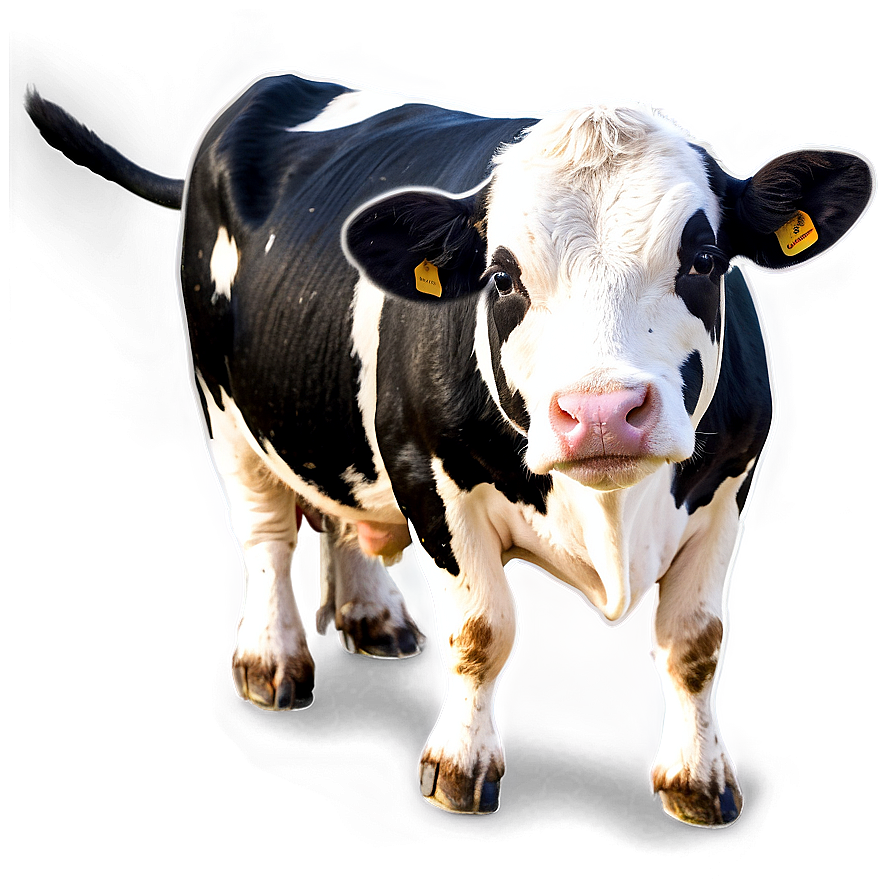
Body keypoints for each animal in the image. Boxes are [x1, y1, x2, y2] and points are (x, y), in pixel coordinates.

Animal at [29, 69, 874, 828]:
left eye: (702, 261)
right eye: (501, 276)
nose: (602, 413)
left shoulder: (731, 484)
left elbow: (695, 645)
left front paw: (697, 781)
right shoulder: (427, 474)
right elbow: (480, 632)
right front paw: (460, 767)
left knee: (346, 514)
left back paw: (371, 617)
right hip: (225, 407)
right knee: (265, 536)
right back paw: (270, 660)